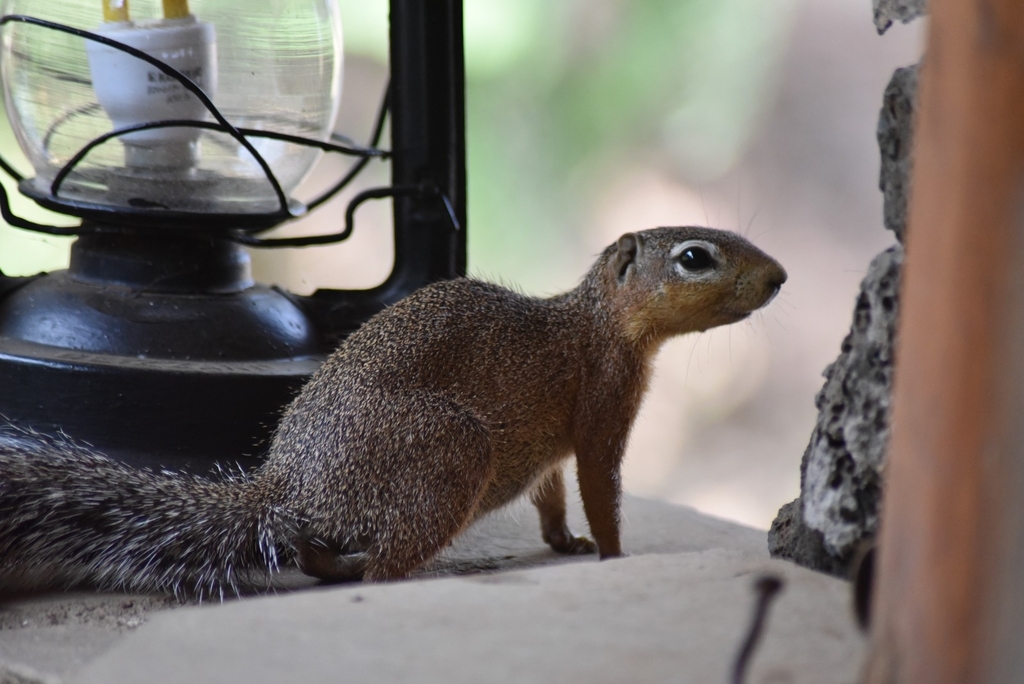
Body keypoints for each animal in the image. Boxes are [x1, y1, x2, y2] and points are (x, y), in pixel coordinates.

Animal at [0, 226, 785, 598]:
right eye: (695, 257)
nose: (779, 277)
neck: (597, 323)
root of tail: (289, 488)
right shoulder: (602, 407)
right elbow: (600, 488)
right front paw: (615, 555)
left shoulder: (554, 449)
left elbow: (552, 496)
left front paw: (566, 543)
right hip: (447, 452)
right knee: (382, 570)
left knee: (322, 559)